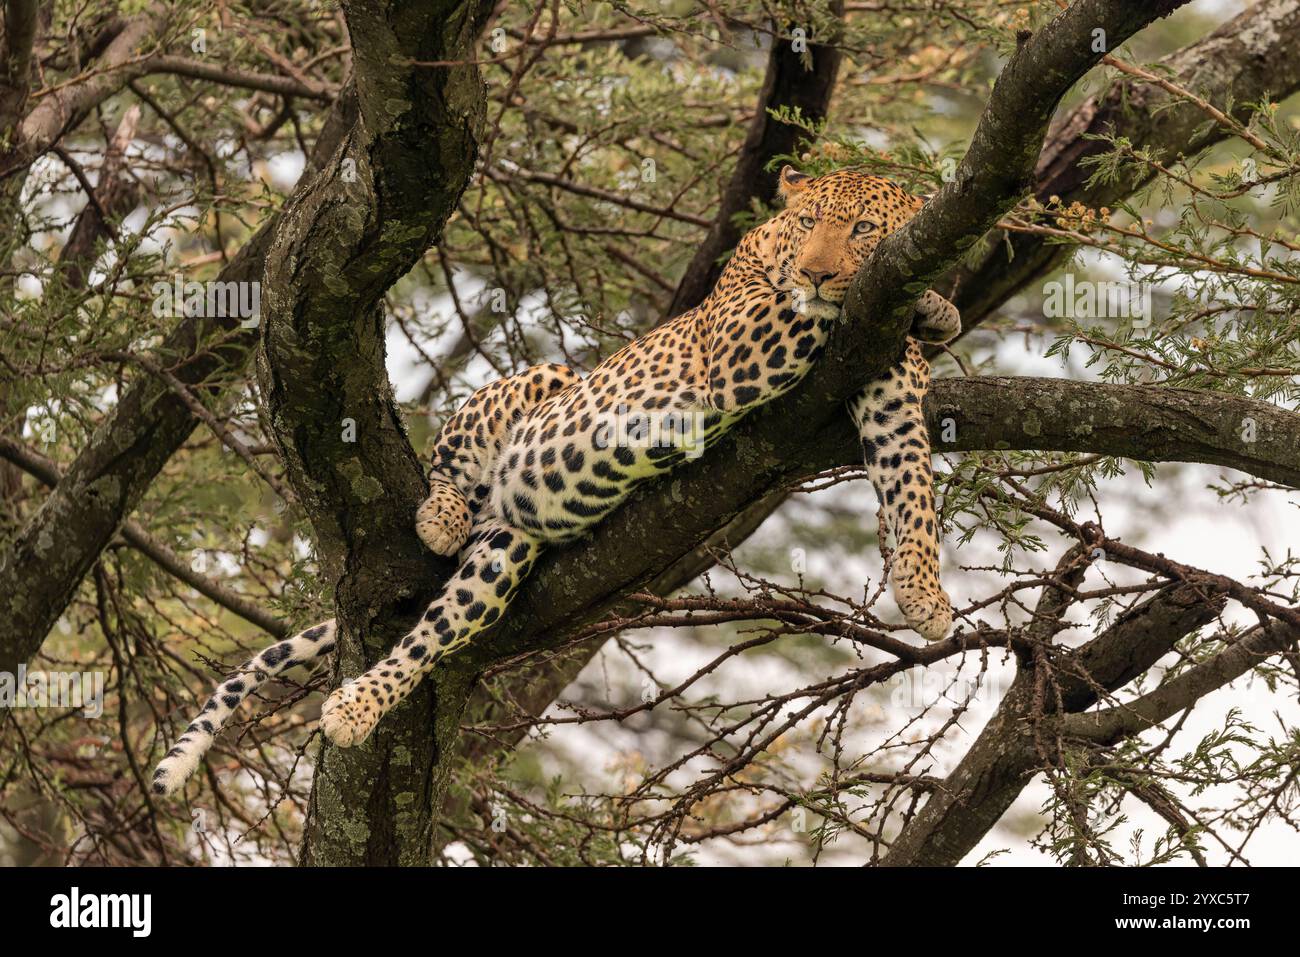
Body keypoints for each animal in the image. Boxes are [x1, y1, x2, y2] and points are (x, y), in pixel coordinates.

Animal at [151, 166, 960, 796]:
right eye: (811, 222)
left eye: (863, 228)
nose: (820, 271)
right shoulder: (739, 345)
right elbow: (814, 315)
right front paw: (915, 306)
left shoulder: (887, 393)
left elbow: (912, 482)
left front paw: (925, 595)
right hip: (547, 380)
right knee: (452, 452)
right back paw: (429, 537)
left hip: (503, 553)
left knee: (434, 634)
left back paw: (363, 700)